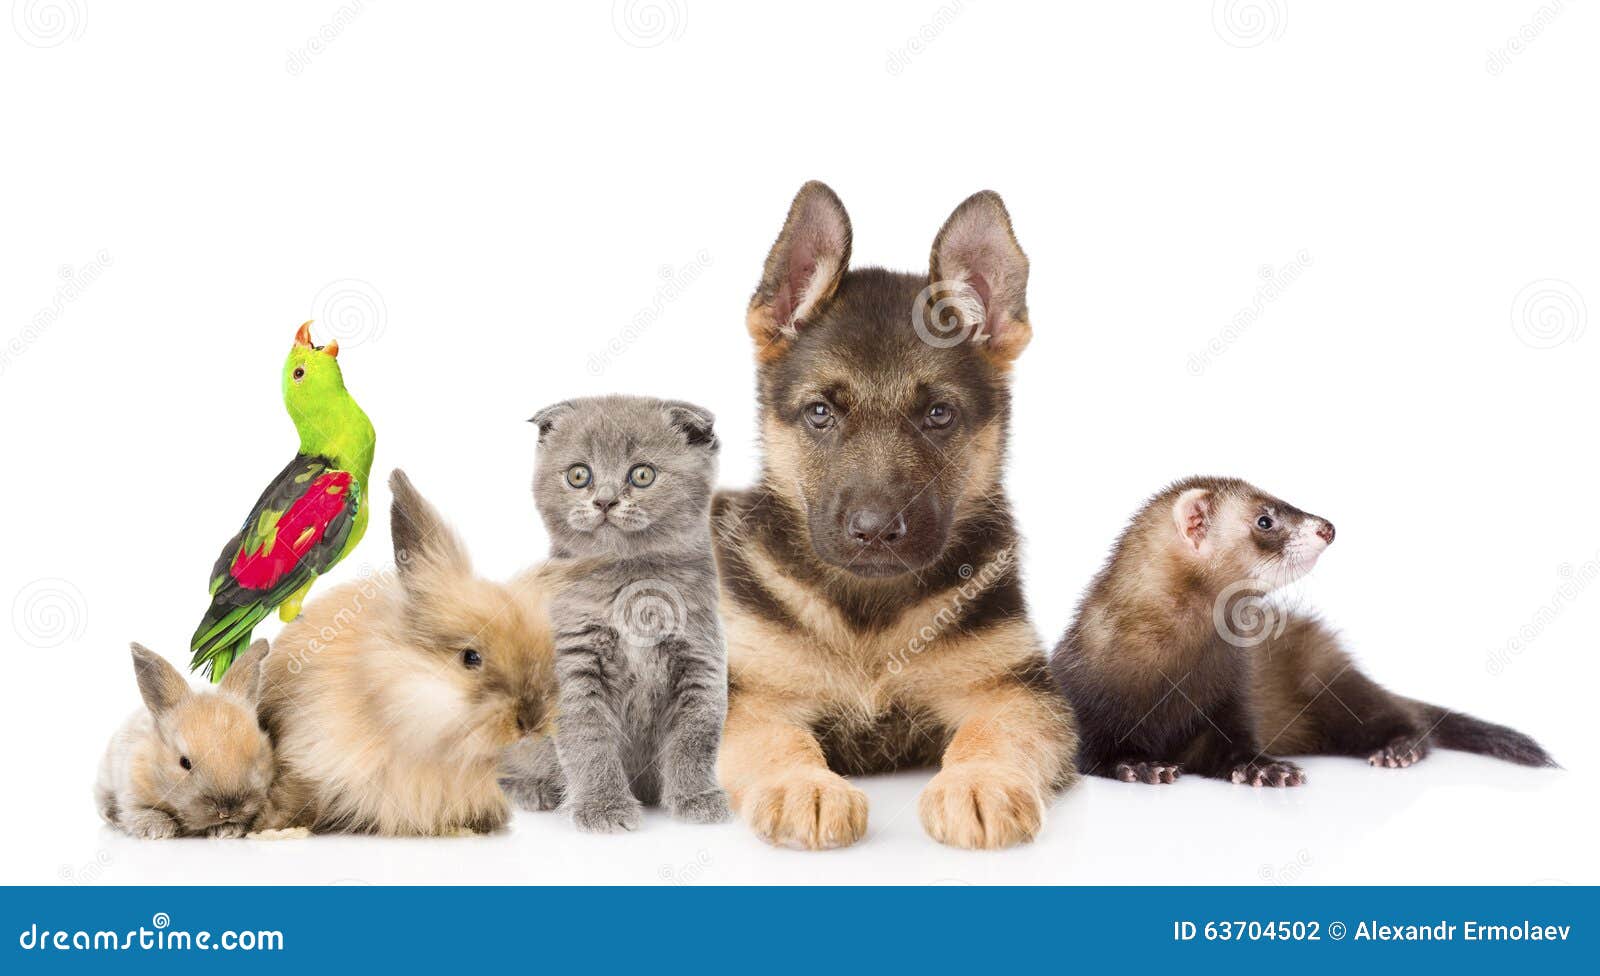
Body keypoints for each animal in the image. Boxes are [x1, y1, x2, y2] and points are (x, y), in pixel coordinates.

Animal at [94, 639, 274, 839]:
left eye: (256, 757)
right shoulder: (131, 793)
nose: (227, 811)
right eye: (184, 763)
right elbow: (139, 812)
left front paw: (227, 830)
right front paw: (158, 830)